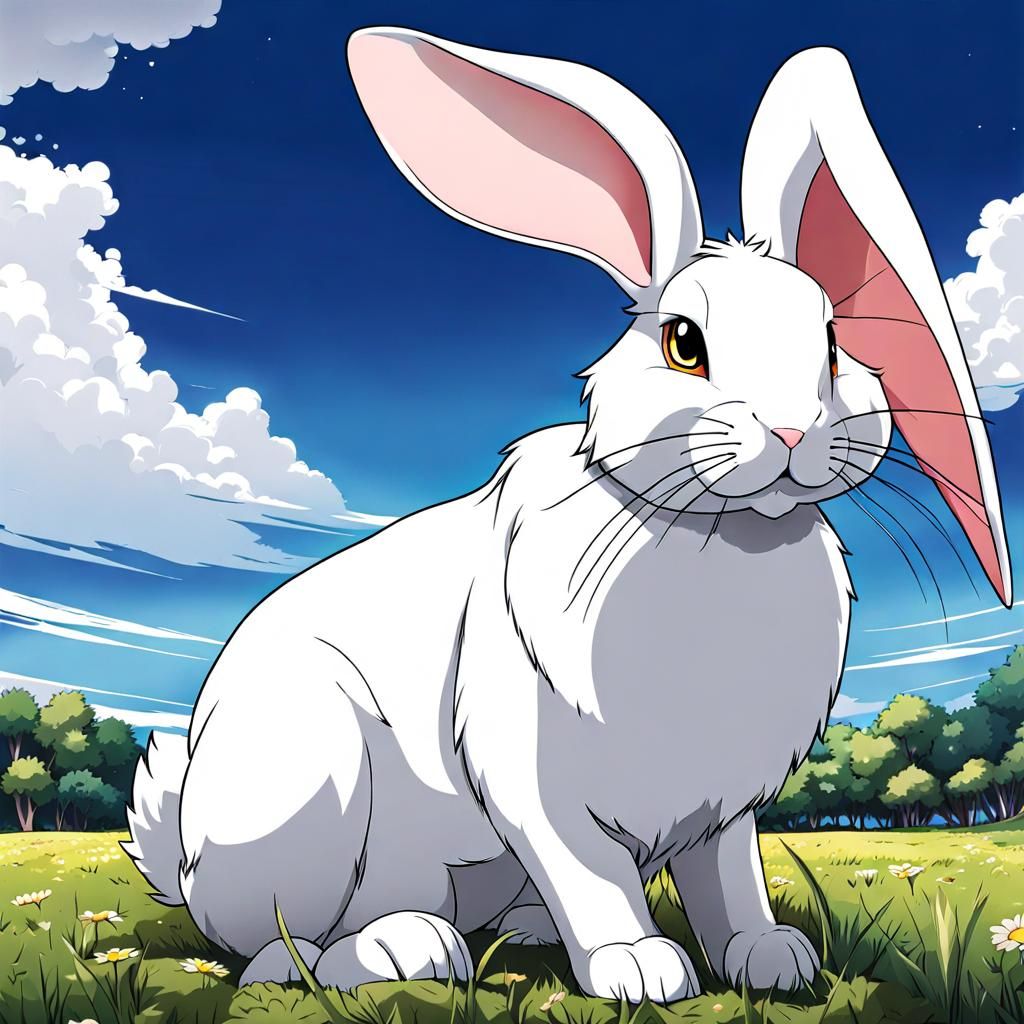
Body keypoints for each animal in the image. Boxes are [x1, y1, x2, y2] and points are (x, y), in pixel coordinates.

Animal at [124, 28, 1011, 1003]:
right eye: (684, 343)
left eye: (829, 343)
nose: (791, 430)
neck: (716, 527)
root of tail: (184, 857)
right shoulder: (538, 785)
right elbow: (593, 875)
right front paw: (640, 970)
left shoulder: (720, 808)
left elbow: (728, 880)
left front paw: (770, 958)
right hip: (305, 780)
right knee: (277, 947)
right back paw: (400, 951)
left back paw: (522, 934)